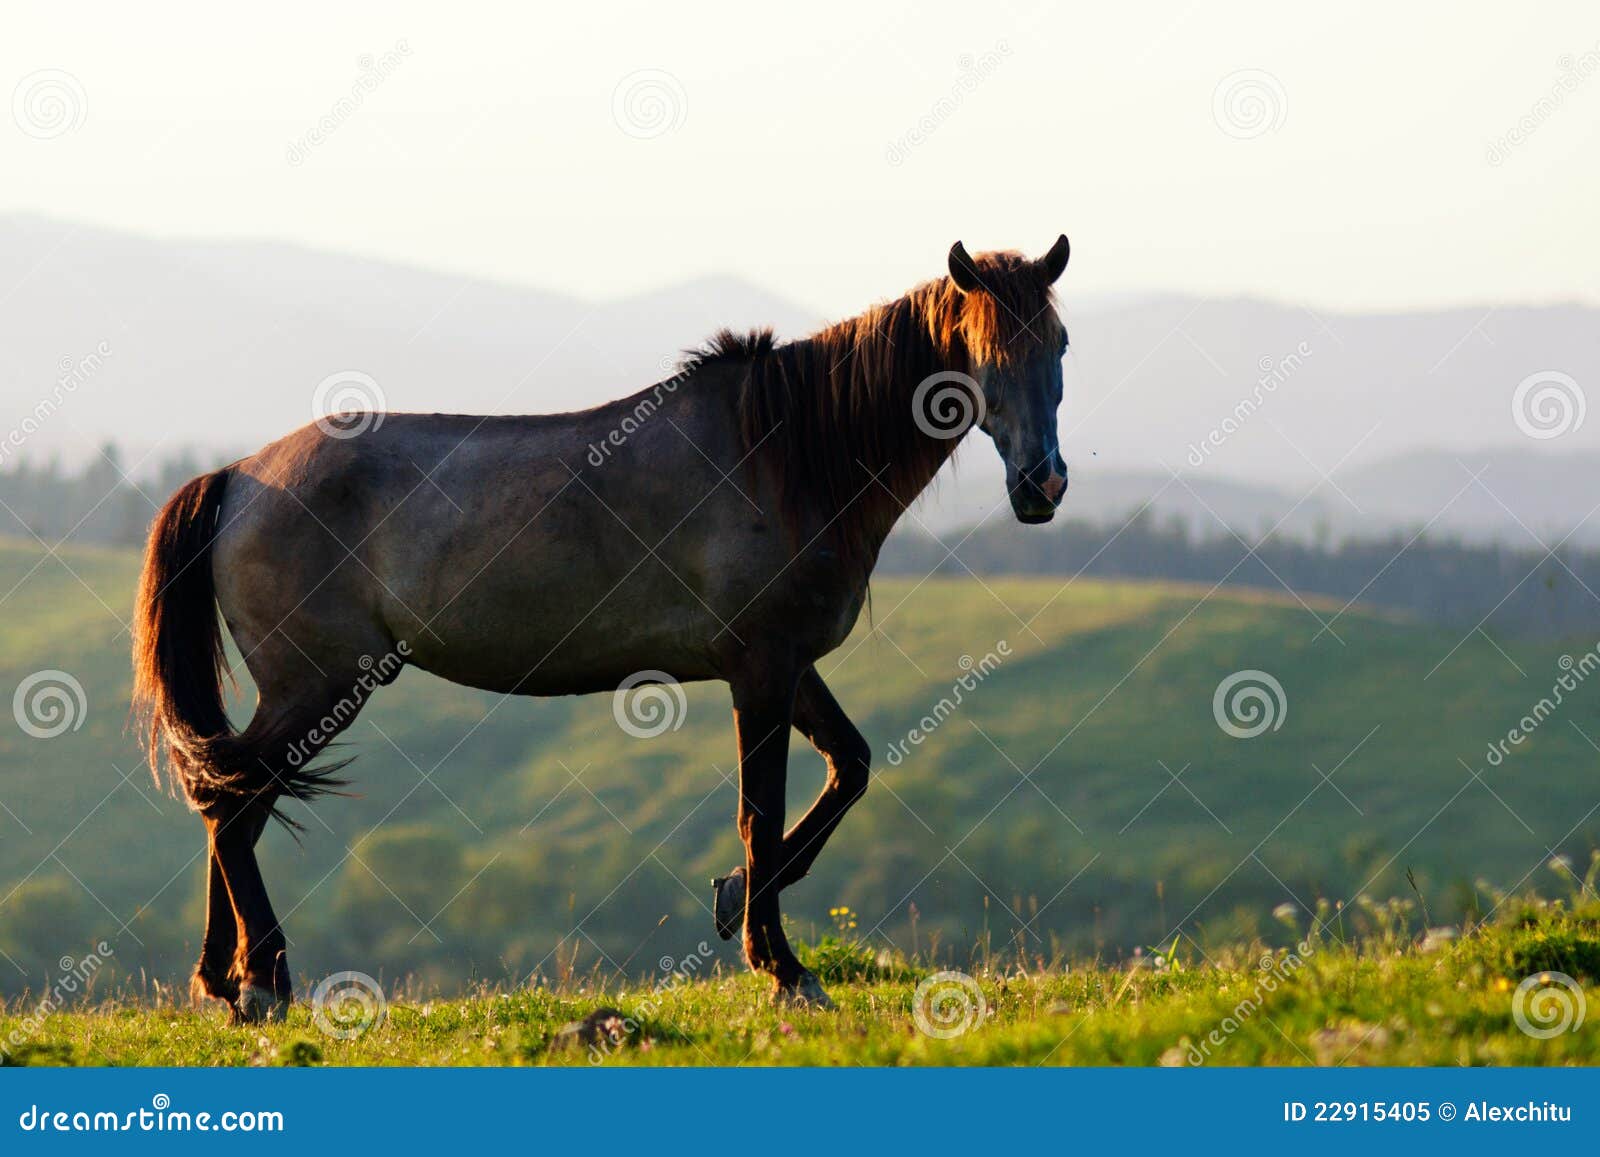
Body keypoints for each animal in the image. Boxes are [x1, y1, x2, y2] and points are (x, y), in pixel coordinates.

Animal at [132, 235, 1072, 1021]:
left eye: (1058, 346)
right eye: (986, 354)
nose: (1044, 484)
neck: (787, 453)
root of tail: (239, 476)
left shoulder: (789, 666)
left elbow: (850, 768)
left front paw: (737, 901)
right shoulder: (761, 668)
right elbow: (760, 812)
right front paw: (782, 964)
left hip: (308, 691)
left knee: (234, 807)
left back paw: (227, 979)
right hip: (315, 684)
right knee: (233, 806)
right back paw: (263, 979)